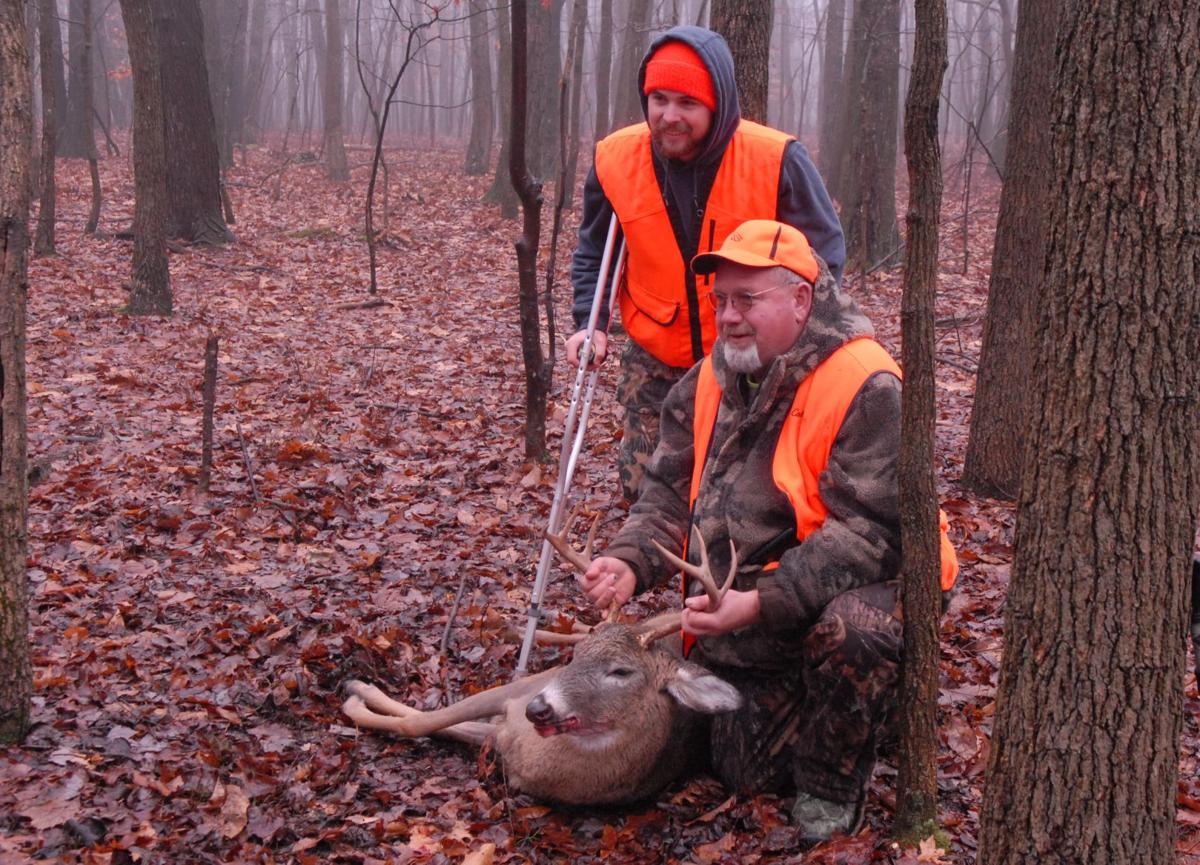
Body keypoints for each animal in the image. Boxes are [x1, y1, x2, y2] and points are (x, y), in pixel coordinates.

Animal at [341, 517, 742, 806]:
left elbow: (418, 723)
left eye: (621, 671)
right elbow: (429, 720)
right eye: (578, 659)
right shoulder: (522, 690)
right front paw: (358, 689)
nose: (538, 708)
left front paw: (355, 695)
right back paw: (520, 626)